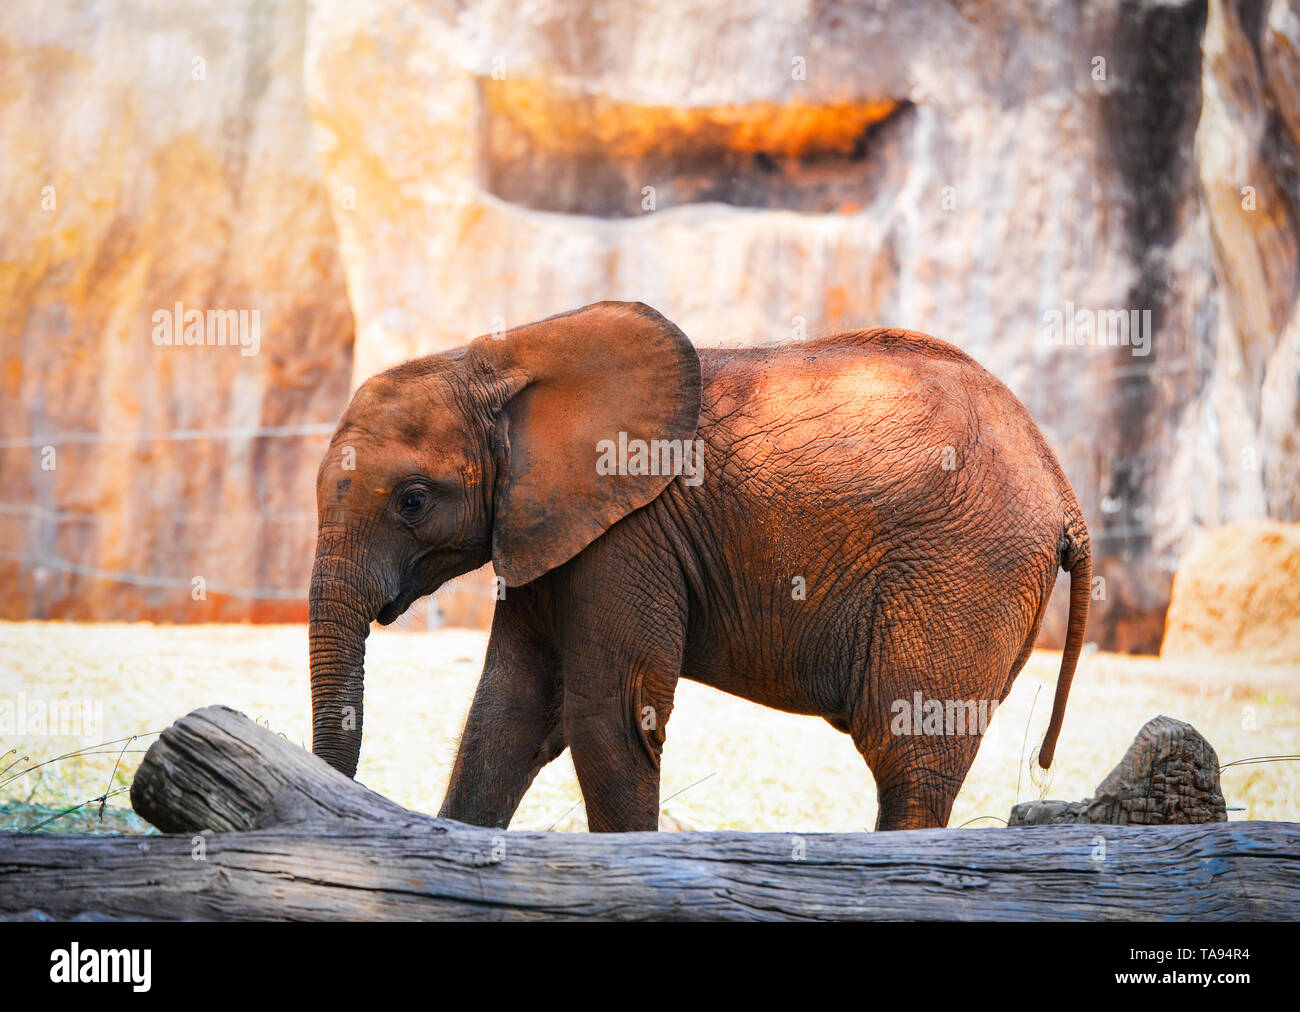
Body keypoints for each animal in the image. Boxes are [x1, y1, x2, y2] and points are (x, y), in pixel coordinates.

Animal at [308, 301, 1091, 832]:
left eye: (413, 500)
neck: (502, 359)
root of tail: (1060, 483)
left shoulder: (630, 532)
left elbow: (607, 718)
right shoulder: (546, 523)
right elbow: (510, 708)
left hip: (966, 568)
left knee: (911, 754)